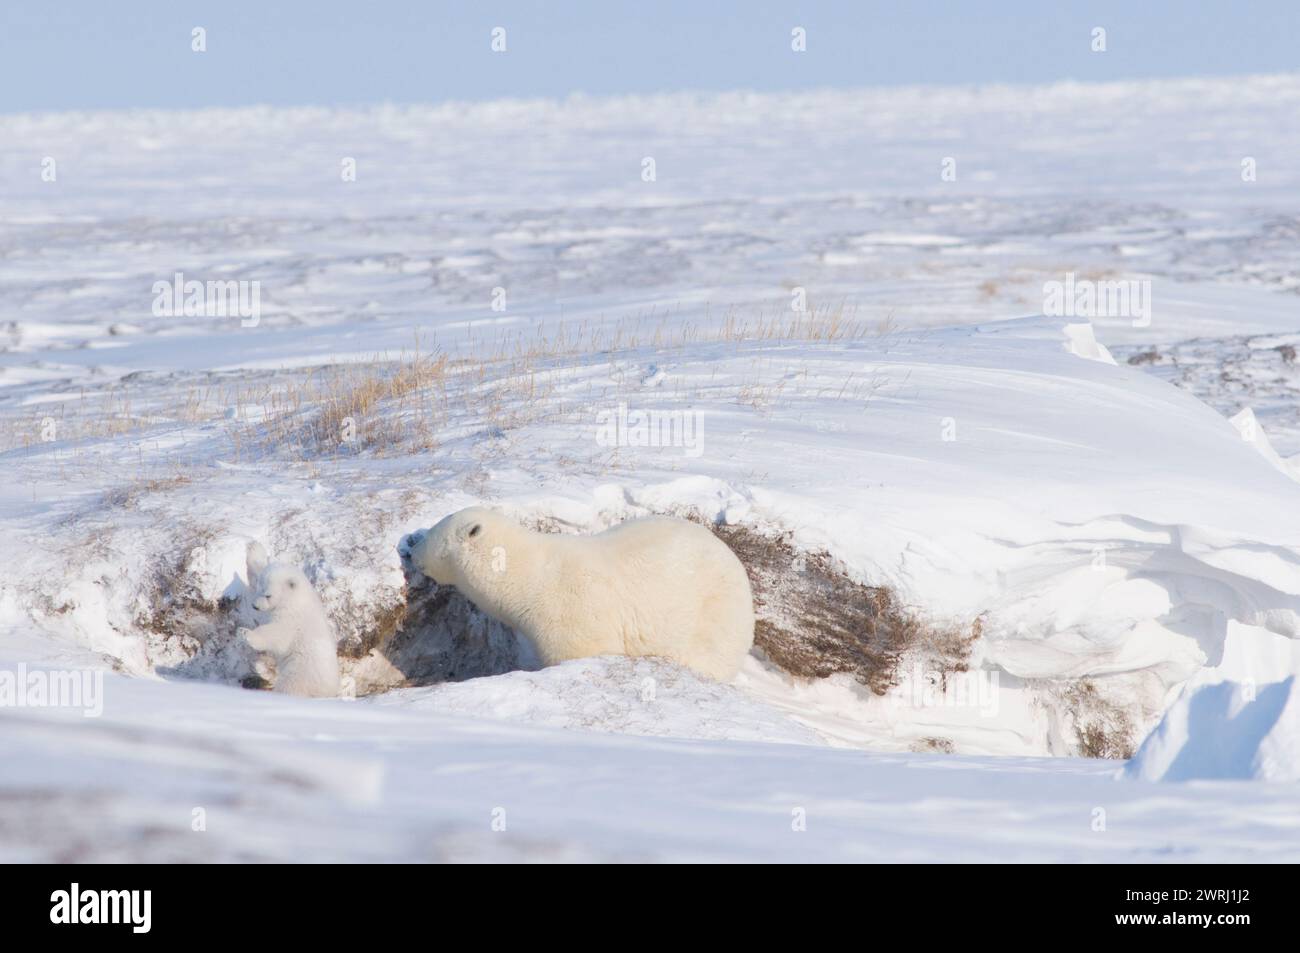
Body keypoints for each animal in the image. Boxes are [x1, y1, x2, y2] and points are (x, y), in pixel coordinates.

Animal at [238, 542, 341, 698]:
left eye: (268, 595)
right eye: (260, 588)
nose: (254, 606)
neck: (295, 600)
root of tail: (330, 690)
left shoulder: (292, 619)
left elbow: (277, 634)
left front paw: (245, 633)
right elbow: (257, 571)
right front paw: (254, 548)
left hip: (301, 670)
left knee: (289, 686)